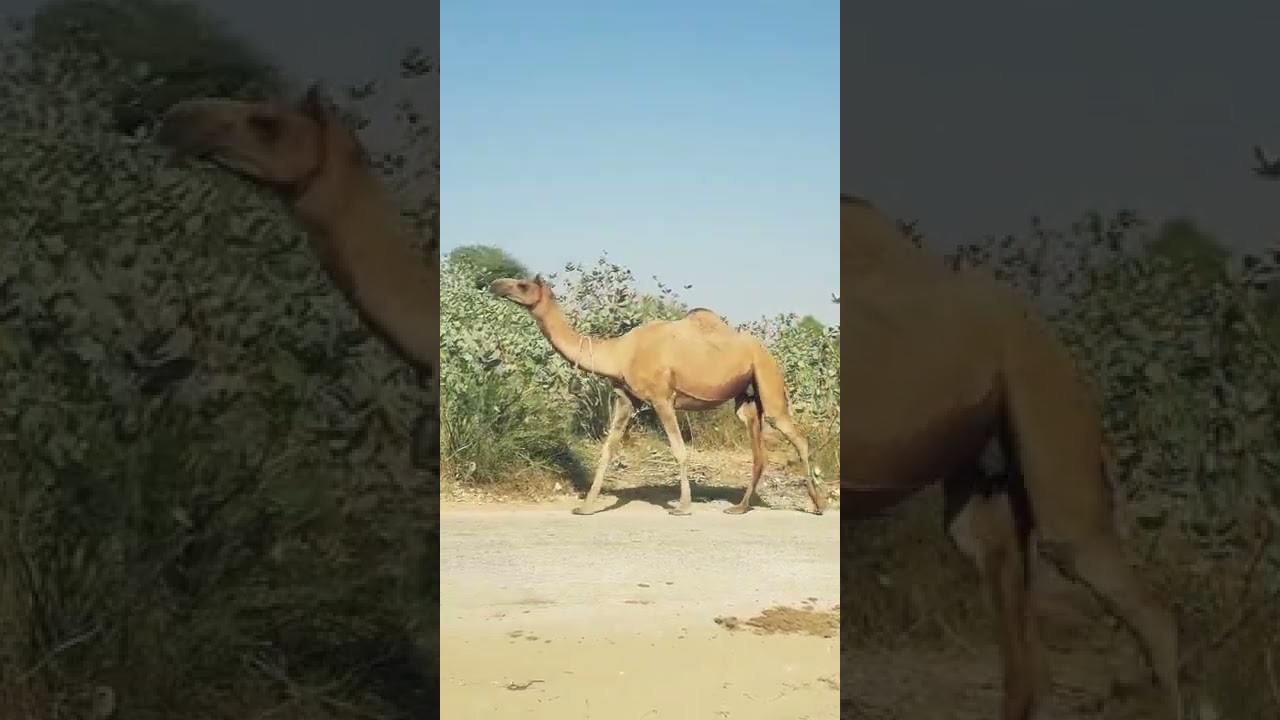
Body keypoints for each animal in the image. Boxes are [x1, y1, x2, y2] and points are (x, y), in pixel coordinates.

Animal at [488, 276, 826, 517]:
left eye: (522, 284)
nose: (495, 285)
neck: (619, 352)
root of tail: (767, 351)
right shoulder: (626, 398)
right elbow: (608, 449)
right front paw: (585, 507)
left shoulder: (663, 399)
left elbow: (679, 450)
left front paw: (683, 507)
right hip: (746, 396)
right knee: (758, 447)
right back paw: (740, 507)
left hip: (767, 376)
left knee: (796, 435)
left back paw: (818, 504)